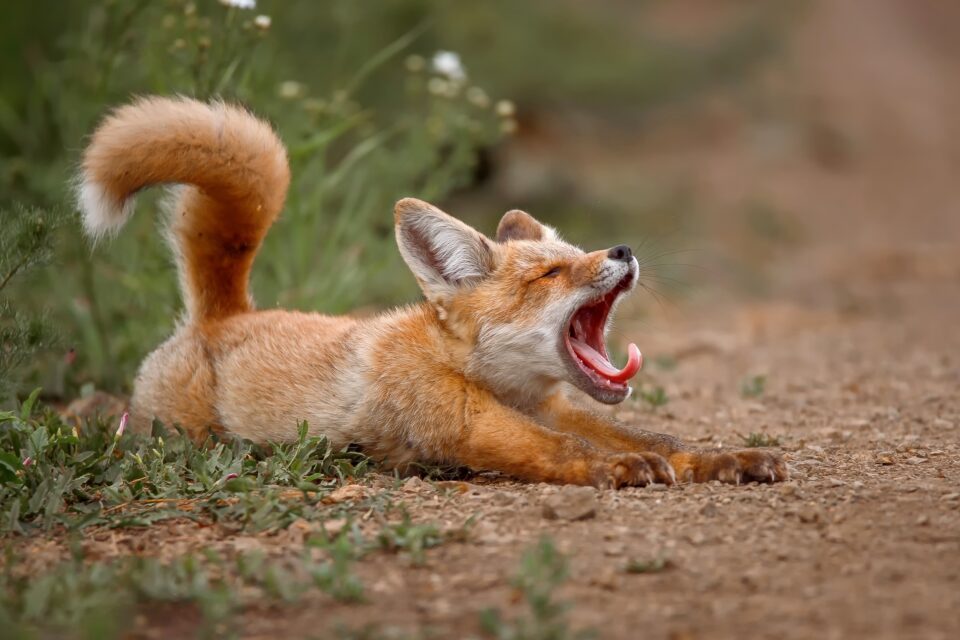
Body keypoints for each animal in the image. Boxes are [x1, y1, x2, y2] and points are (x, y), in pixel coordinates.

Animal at [77, 96, 787, 488]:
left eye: (573, 253)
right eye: (549, 275)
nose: (621, 250)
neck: (483, 377)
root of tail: (225, 315)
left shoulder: (555, 408)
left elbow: (660, 439)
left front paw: (727, 458)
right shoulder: (464, 421)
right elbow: (565, 451)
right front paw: (618, 471)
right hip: (177, 429)